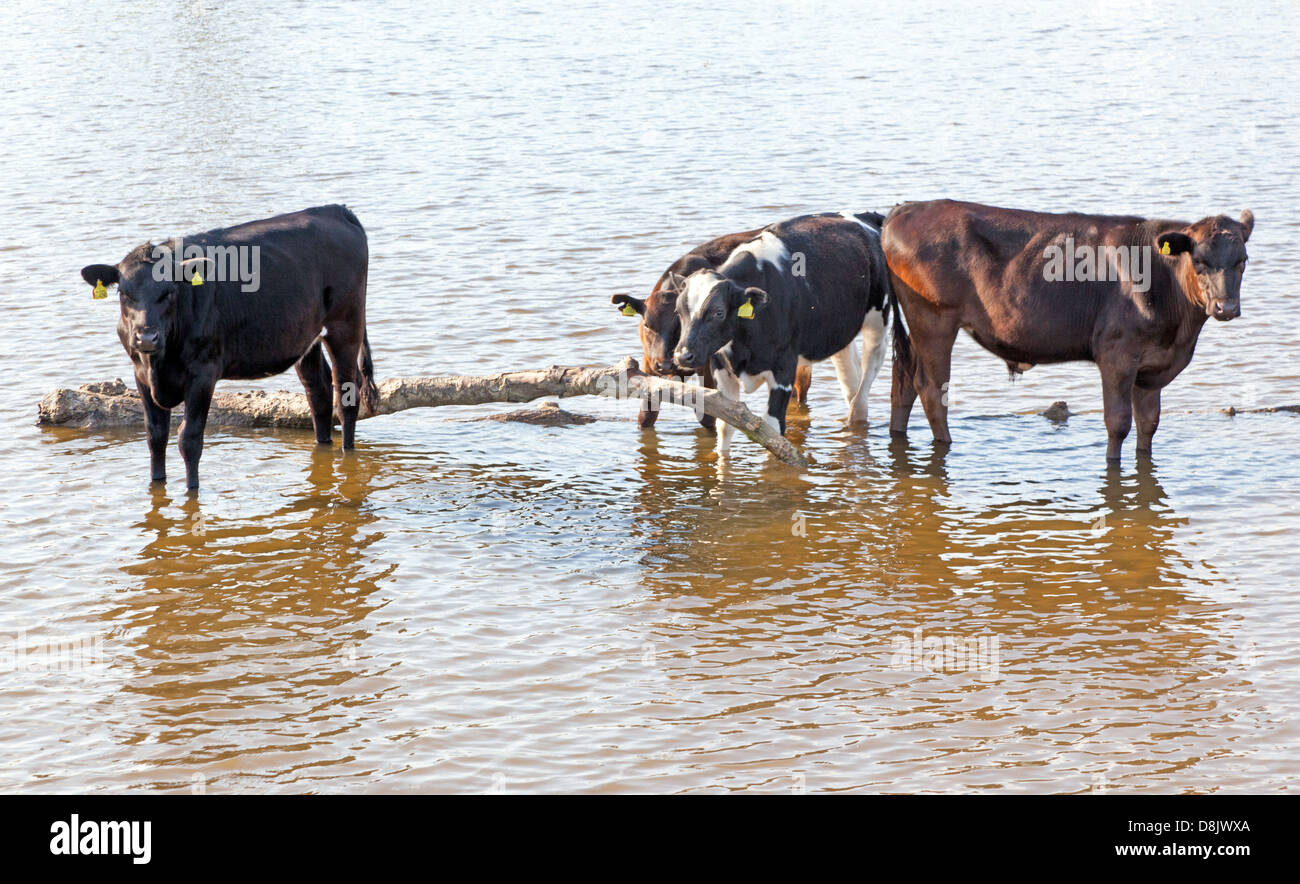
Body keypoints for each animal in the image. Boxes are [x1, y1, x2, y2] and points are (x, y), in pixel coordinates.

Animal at [79, 204, 378, 489]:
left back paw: (347, 453)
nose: (147, 337)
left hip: (345, 326)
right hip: (307, 337)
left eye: (169, 291)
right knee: (319, 395)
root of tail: (335, 210)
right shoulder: (140, 373)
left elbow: (189, 438)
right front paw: (156, 482)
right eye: (123, 293)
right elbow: (155, 435)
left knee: (347, 398)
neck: (159, 363)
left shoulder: (203, 373)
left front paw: (192, 488)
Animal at [612, 227, 812, 430]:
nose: (665, 364)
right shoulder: (649, 368)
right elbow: (645, 417)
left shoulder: (709, 375)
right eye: (646, 324)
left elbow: (708, 419)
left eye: (677, 324)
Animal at [670, 211, 892, 458]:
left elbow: (773, 430)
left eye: (718, 312)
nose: (682, 356)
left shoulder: (784, 368)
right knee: (849, 380)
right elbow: (725, 426)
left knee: (866, 381)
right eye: (678, 311)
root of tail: (864, 217)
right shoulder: (721, 369)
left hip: (878, 321)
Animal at [881, 199, 1254, 460]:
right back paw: (946, 443)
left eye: (1242, 260)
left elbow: (1148, 424)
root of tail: (906, 209)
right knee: (931, 388)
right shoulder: (1117, 354)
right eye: (1199, 262)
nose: (1226, 308)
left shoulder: (1153, 366)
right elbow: (1118, 422)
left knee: (904, 382)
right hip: (934, 321)